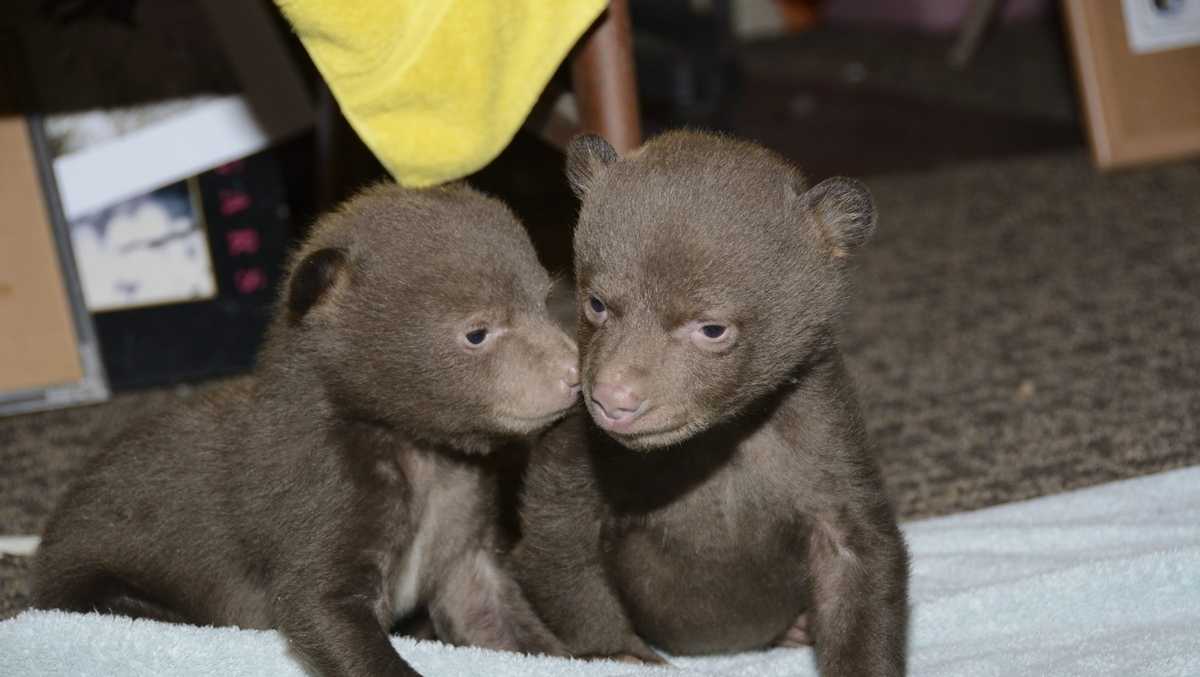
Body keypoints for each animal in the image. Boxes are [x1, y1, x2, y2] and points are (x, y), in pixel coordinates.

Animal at [33, 183, 578, 677]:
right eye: (477, 332)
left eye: (545, 301)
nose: (574, 373)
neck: (419, 450)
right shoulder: (323, 498)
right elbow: (322, 611)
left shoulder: (465, 543)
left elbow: (497, 619)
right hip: (102, 589)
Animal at [513, 131, 910, 677]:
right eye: (596, 304)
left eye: (712, 329)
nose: (614, 400)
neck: (716, 436)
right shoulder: (579, 446)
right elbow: (560, 543)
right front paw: (622, 652)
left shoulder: (822, 431)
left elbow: (856, 555)